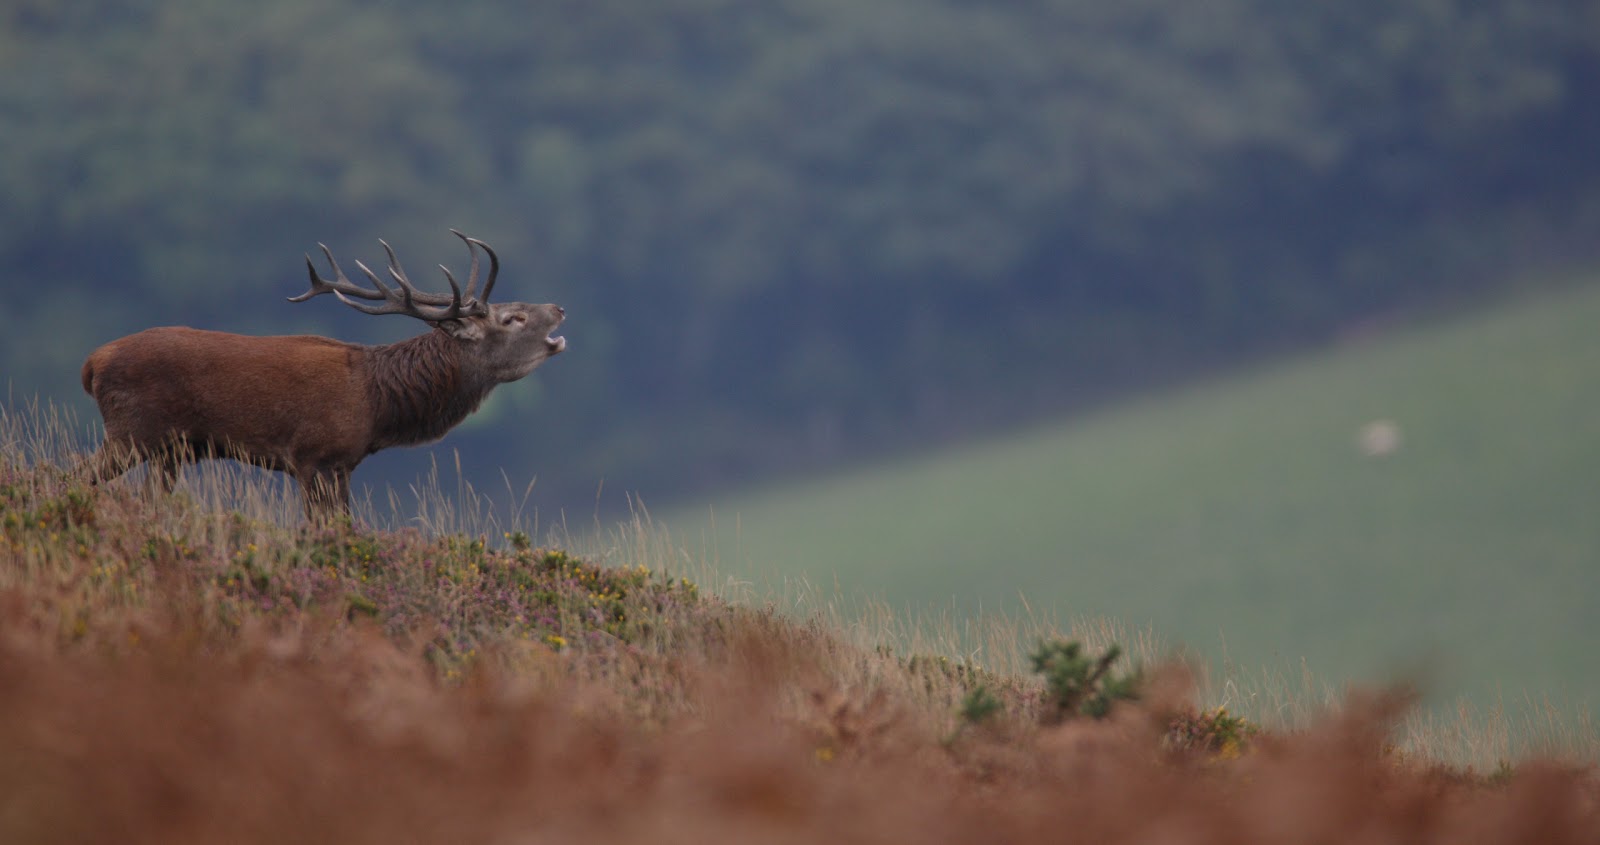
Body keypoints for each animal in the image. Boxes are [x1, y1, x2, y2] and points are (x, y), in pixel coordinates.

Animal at [78, 230, 566, 521]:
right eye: (512, 318)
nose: (559, 307)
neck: (377, 406)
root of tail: (92, 363)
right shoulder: (313, 456)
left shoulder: (343, 465)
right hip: (131, 433)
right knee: (73, 474)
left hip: (168, 452)